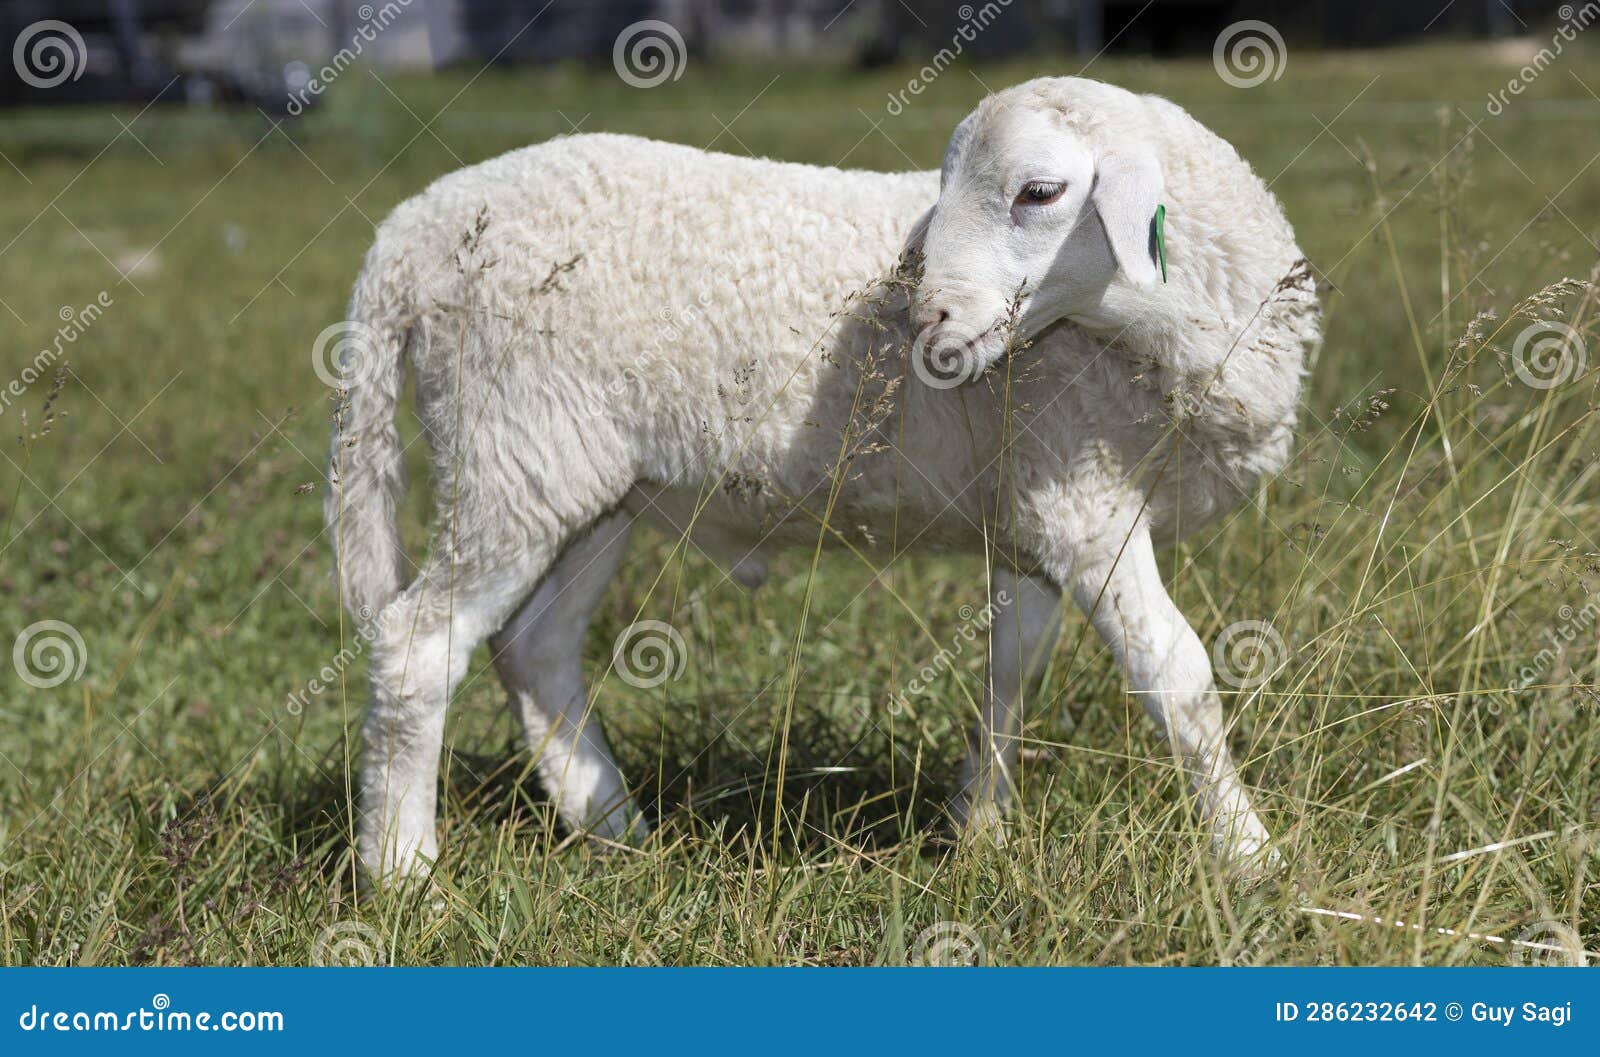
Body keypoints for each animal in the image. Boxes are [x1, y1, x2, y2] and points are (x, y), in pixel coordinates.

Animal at [326, 75, 1320, 882]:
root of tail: (409, 233)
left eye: (1040, 192)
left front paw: (979, 829)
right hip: (507, 451)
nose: (924, 319)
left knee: (533, 646)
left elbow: (1008, 671)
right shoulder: (1083, 502)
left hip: (578, 481)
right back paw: (401, 872)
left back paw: (614, 827)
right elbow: (1177, 674)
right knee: (415, 645)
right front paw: (1252, 858)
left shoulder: (1038, 498)